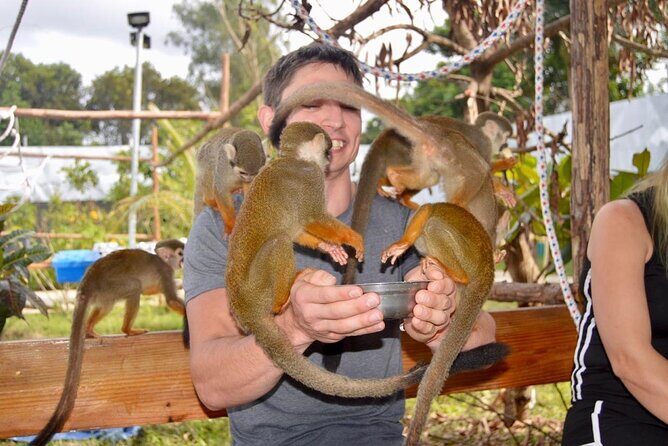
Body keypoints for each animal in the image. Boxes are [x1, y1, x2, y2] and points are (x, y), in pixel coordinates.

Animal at [30, 240, 186, 446]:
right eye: (180, 253)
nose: (185, 259)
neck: (164, 262)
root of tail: (87, 283)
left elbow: (152, 292)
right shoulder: (165, 272)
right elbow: (170, 299)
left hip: (103, 292)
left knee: (108, 303)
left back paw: (89, 329)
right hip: (110, 286)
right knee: (134, 287)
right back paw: (127, 330)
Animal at [226, 121, 431, 398]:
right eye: (327, 146)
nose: (330, 156)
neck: (294, 158)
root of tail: (245, 311)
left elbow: (300, 227)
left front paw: (329, 247)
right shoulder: (311, 177)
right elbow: (313, 217)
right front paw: (352, 238)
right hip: (258, 288)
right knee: (279, 242)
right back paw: (283, 296)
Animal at [380, 203, 507, 445]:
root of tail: (486, 270)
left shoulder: (417, 215)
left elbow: (425, 211)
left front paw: (402, 244)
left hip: (466, 259)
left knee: (433, 225)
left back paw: (454, 271)